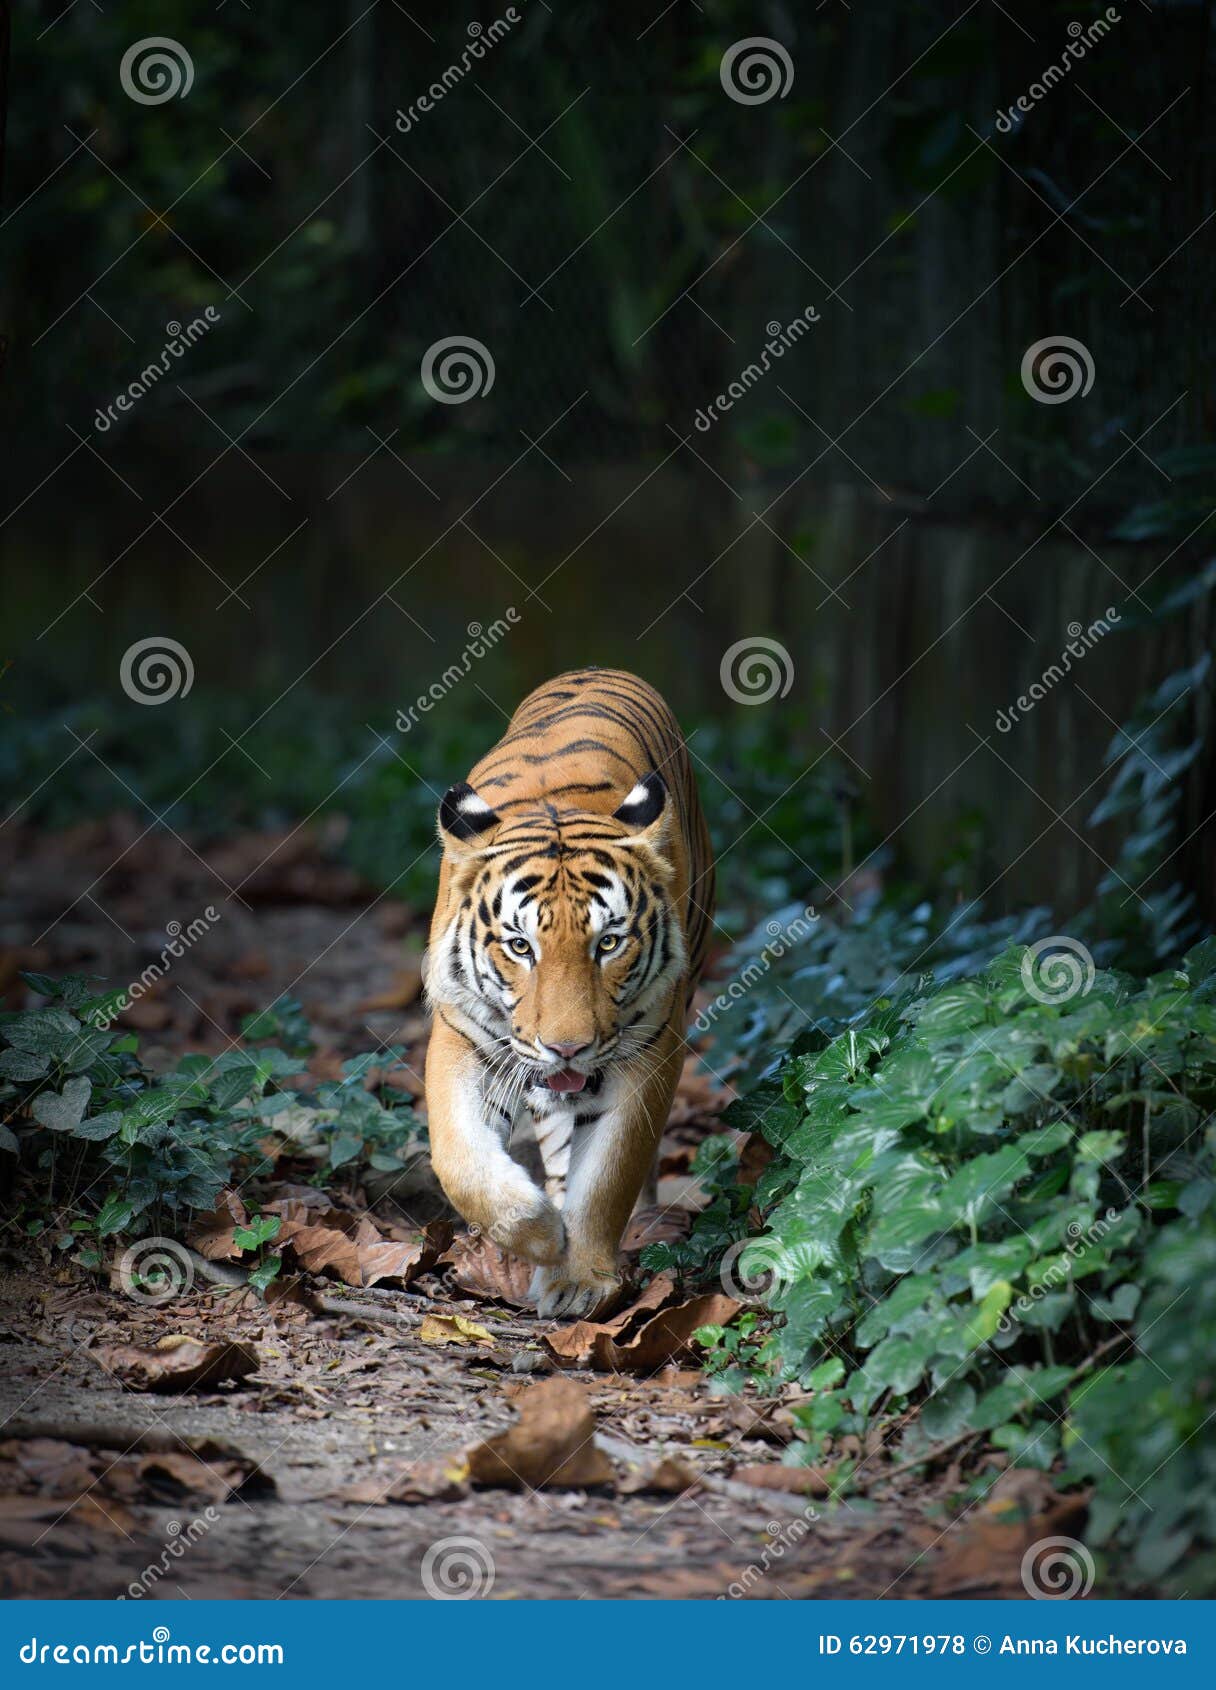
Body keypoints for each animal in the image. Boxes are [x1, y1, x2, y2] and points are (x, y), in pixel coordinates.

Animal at [423, 666, 715, 1319]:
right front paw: (539, 1233)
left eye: (608, 943)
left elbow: (609, 1175)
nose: (567, 1048)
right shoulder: (461, 1035)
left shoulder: (651, 1048)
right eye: (520, 946)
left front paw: (579, 1277)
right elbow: (459, 1159)